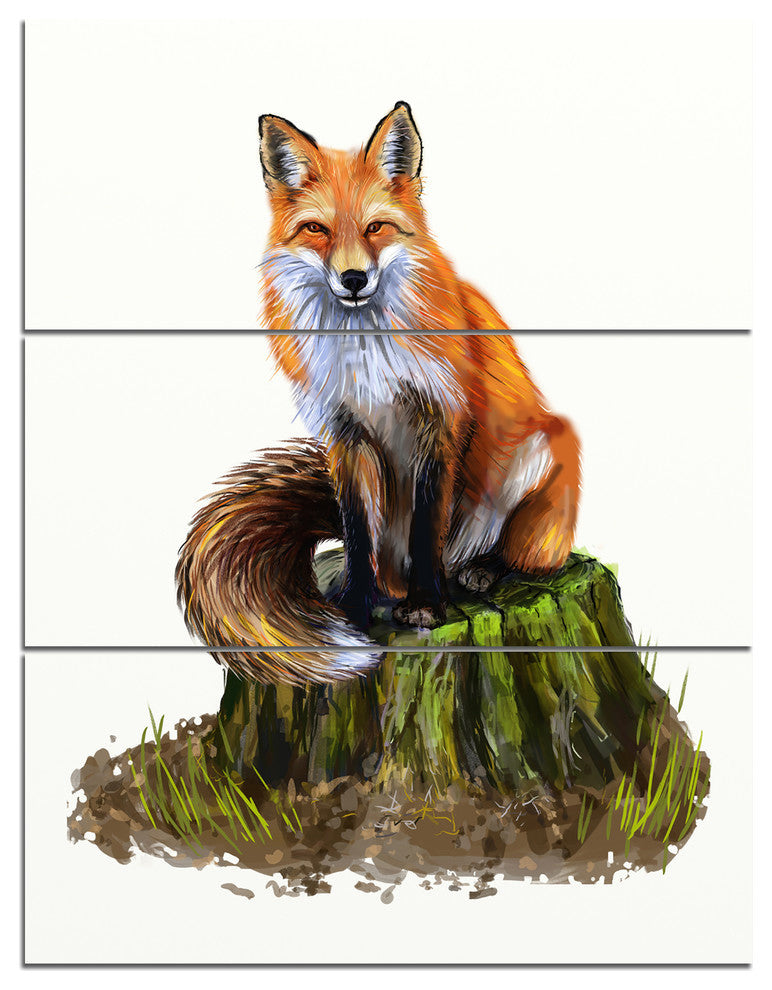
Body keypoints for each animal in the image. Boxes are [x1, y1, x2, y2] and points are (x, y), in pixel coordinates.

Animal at [176, 102, 581, 685]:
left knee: (516, 555)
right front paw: (354, 608)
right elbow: (355, 529)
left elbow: (429, 522)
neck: (363, 352)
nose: (352, 279)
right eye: (317, 229)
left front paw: (427, 604)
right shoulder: (344, 433)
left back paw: (480, 570)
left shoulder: (440, 420)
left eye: (376, 227)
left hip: (540, 453)